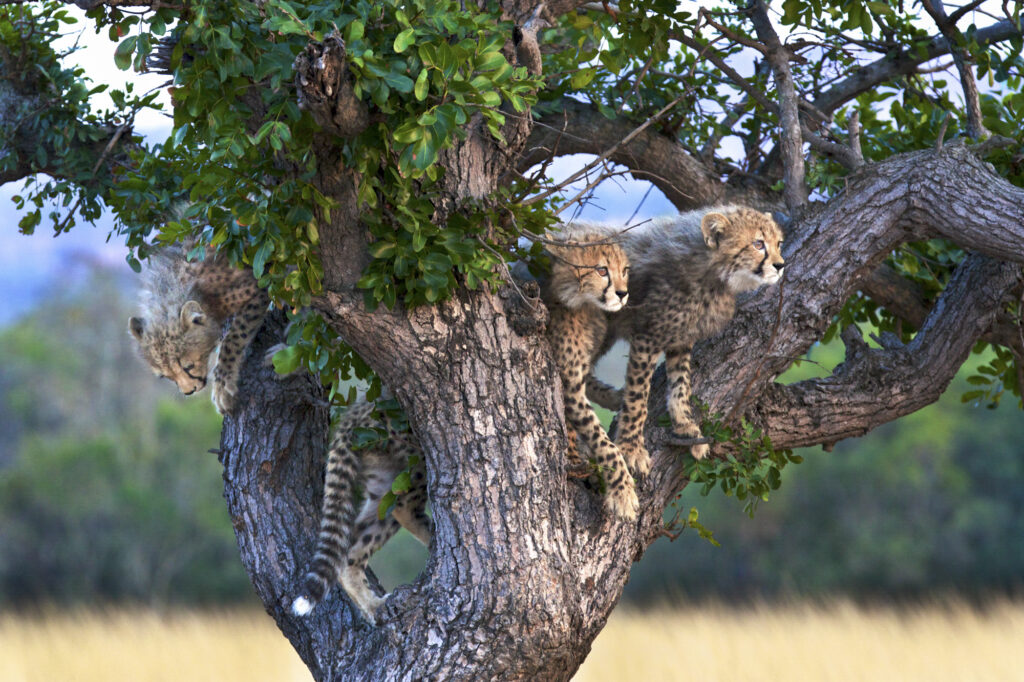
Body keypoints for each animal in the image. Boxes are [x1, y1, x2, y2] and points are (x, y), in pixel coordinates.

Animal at [128, 241, 269, 414]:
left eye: (189, 366)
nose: (189, 391)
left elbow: (233, 338)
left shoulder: (261, 284)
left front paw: (222, 387)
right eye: (165, 376)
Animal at [291, 398, 431, 622]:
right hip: (411, 458)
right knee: (405, 508)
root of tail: (361, 407)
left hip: (383, 483)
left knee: (351, 551)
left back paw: (373, 605)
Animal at [537, 226, 639, 520]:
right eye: (601, 270)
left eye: (624, 270)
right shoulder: (570, 387)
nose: (623, 293)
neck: (583, 304)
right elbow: (603, 442)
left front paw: (616, 397)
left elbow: (592, 381)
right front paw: (623, 493)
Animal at [606, 205, 785, 473]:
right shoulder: (648, 335)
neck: (713, 276)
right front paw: (631, 449)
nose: (781, 265)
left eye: (779, 243)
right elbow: (638, 395)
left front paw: (687, 427)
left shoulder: (681, 337)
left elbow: (681, 383)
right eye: (758, 244)